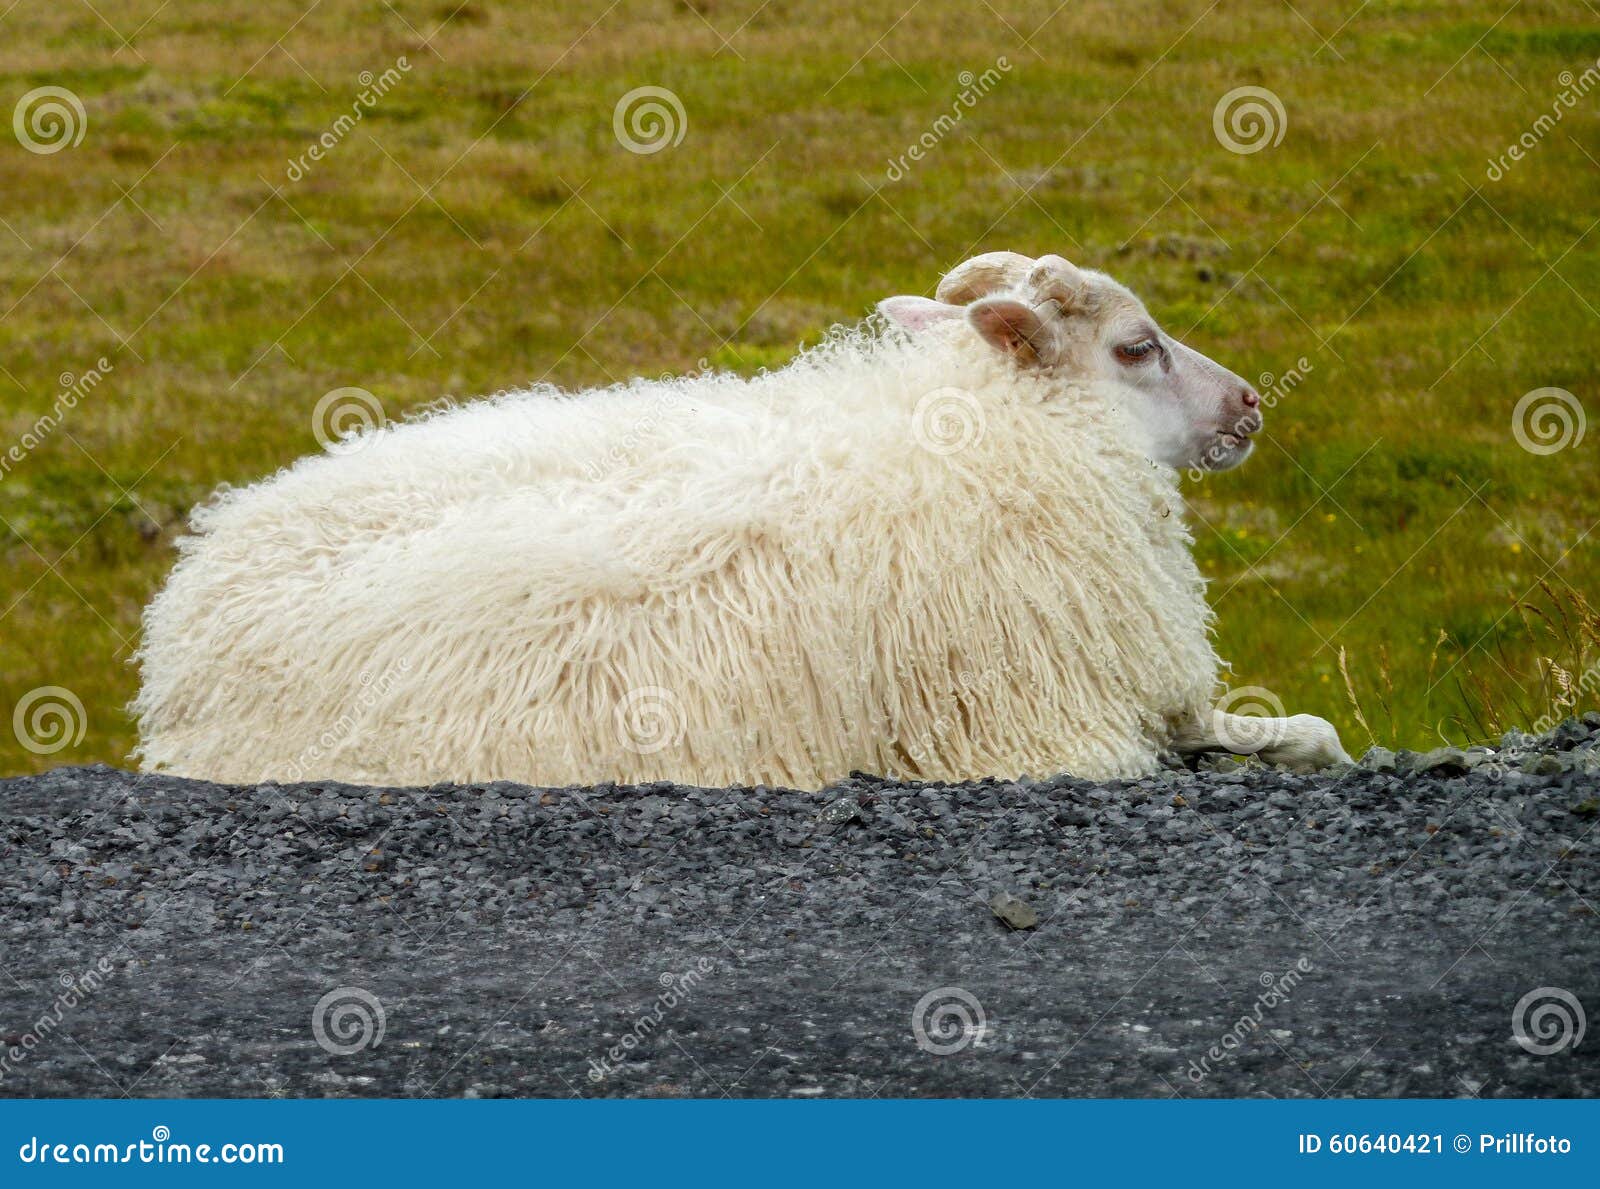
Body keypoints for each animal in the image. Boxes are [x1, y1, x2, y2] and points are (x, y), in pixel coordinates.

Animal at [132, 251, 1350, 788]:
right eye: (1137, 347)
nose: (1251, 404)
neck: (987, 431)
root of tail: (179, 635)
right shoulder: (1057, 726)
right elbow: (1299, 734)